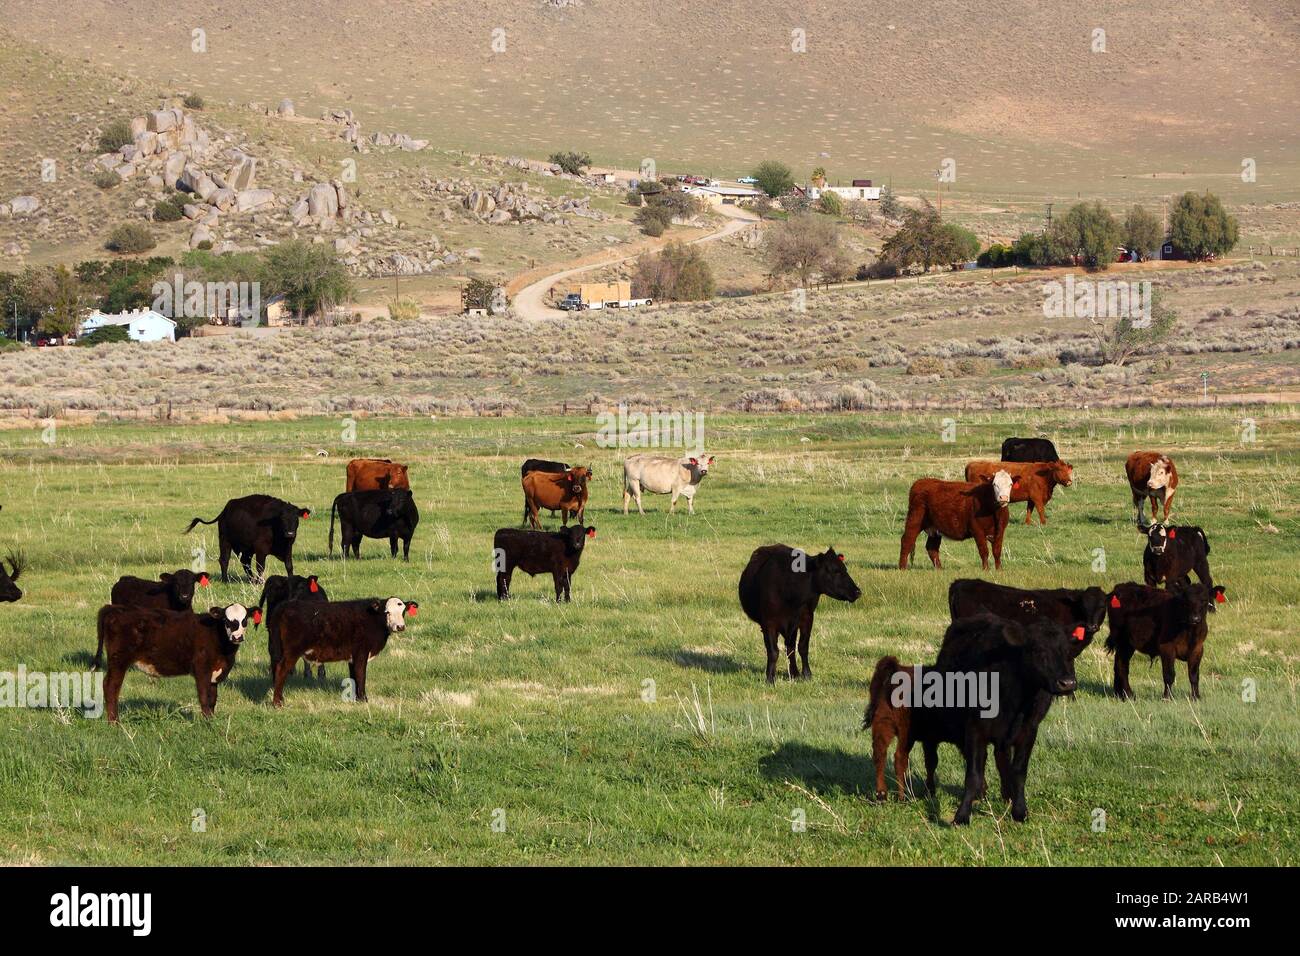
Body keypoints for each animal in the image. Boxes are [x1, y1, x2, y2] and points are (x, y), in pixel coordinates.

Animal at [96, 602, 259, 723]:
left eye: (245, 620)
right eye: (226, 620)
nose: (237, 637)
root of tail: (116, 609)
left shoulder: (215, 673)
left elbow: (212, 699)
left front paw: (212, 720)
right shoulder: (201, 669)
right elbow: (204, 697)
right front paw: (207, 723)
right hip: (119, 660)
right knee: (111, 687)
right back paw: (114, 722)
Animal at [270, 597, 418, 707]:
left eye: (403, 611)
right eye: (387, 612)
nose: (400, 626)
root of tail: (285, 606)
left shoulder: (352, 657)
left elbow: (354, 676)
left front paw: (356, 699)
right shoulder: (361, 653)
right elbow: (361, 675)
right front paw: (364, 700)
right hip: (292, 651)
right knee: (281, 670)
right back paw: (278, 703)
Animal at [738, 544, 861, 683]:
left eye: (845, 569)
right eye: (835, 571)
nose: (858, 591)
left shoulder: (807, 618)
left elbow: (802, 647)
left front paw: (807, 674)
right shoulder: (768, 622)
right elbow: (773, 651)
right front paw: (770, 678)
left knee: (790, 647)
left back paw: (794, 673)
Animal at [864, 615, 1076, 824]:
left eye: (1069, 652)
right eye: (1037, 649)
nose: (1067, 683)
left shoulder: (1028, 730)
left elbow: (1018, 771)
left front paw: (1019, 811)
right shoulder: (974, 730)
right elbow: (973, 773)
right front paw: (962, 815)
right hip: (891, 730)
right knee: (888, 756)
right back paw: (886, 795)